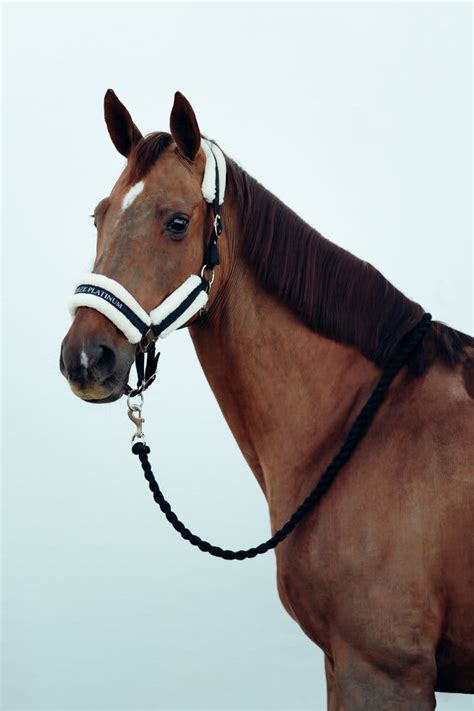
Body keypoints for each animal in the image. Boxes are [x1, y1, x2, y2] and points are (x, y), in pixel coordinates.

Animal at [60, 89, 474, 709]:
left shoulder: (385, 671)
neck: (364, 426)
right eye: (98, 216)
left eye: (177, 222)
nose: (85, 358)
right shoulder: (340, 666)